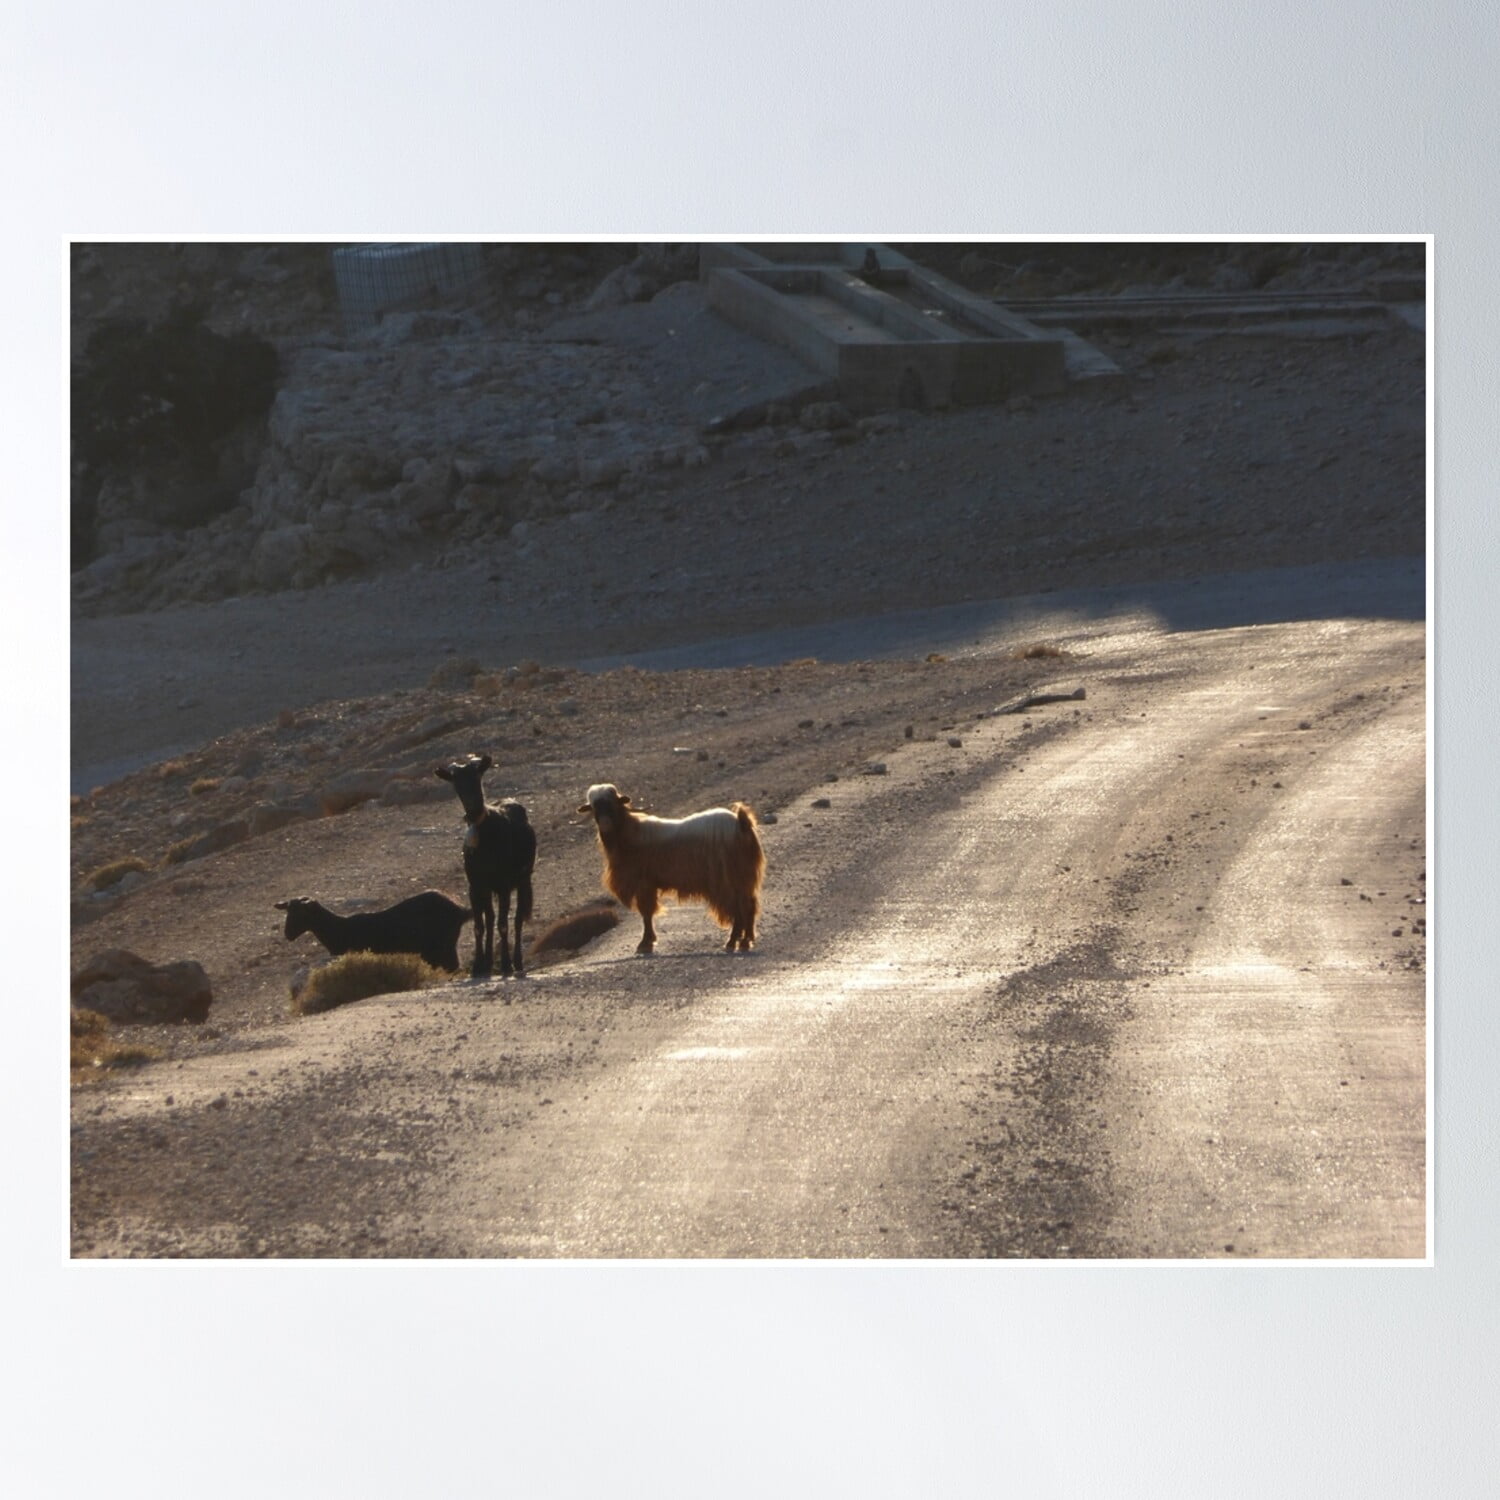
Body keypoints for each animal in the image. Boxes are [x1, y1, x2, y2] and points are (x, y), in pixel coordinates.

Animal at [274, 891, 471, 972]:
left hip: (442, 946)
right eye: (288, 911)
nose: (288, 934)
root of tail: (460, 910)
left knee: (453, 966)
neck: (338, 928)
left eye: (301, 913)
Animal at [435, 753, 537, 978]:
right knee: (490, 919)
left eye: (477, 776)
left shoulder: (504, 884)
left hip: (523, 880)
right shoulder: (475, 886)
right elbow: (479, 926)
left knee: (516, 919)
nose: (472, 809)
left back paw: (517, 962)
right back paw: (489, 962)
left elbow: (503, 924)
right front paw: (478, 967)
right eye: (456, 782)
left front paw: (506, 965)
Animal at [577, 782, 765, 954]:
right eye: (594, 807)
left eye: (612, 803)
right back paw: (745, 940)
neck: (631, 833)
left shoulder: (644, 884)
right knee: (748, 905)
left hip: (730, 877)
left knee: (741, 907)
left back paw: (734, 941)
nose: (605, 824)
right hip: (742, 876)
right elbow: (646, 913)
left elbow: (646, 913)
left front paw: (645, 943)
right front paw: (647, 941)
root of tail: (741, 822)